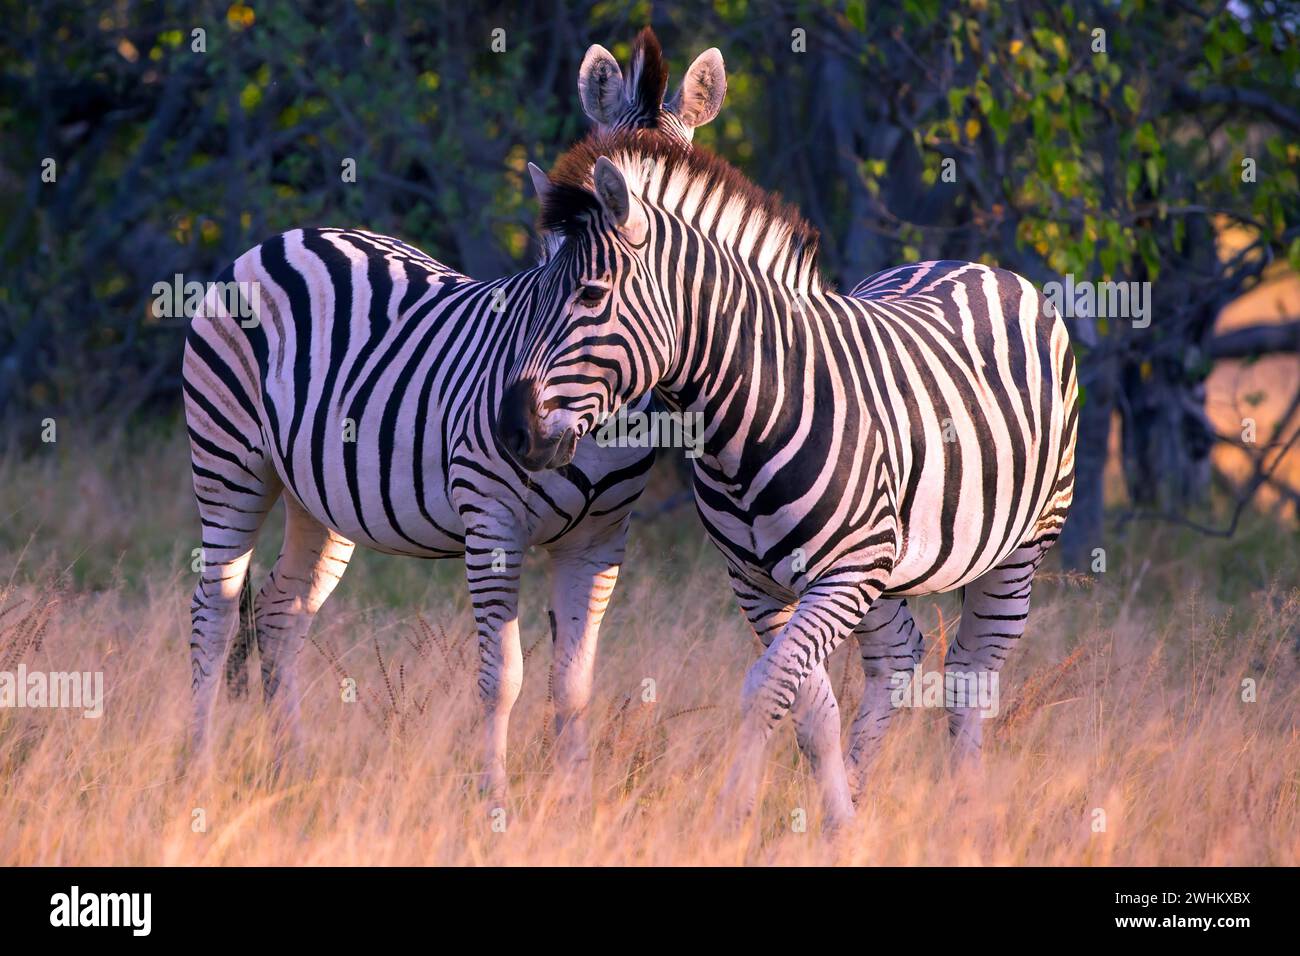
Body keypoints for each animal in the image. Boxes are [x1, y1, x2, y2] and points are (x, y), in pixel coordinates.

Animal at [182, 30, 727, 806]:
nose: (520, 428)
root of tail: (289, 235)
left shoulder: (599, 543)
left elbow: (574, 685)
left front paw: (574, 805)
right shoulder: (491, 522)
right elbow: (504, 679)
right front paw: (494, 803)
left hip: (317, 496)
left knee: (282, 614)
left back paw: (293, 773)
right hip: (229, 461)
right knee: (216, 613)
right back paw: (197, 773)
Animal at [497, 133, 1079, 829]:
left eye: (590, 296)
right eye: (531, 297)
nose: (511, 430)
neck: (746, 421)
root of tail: (977, 266)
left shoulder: (846, 572)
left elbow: (768, 687)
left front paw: (727, 819)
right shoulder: (756, 583)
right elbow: (809, 704)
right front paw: (832, 823)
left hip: (1018, 549)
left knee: (971, 673)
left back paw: (966, 809)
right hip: (887, 568)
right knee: (896, 658)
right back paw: (858, 796)